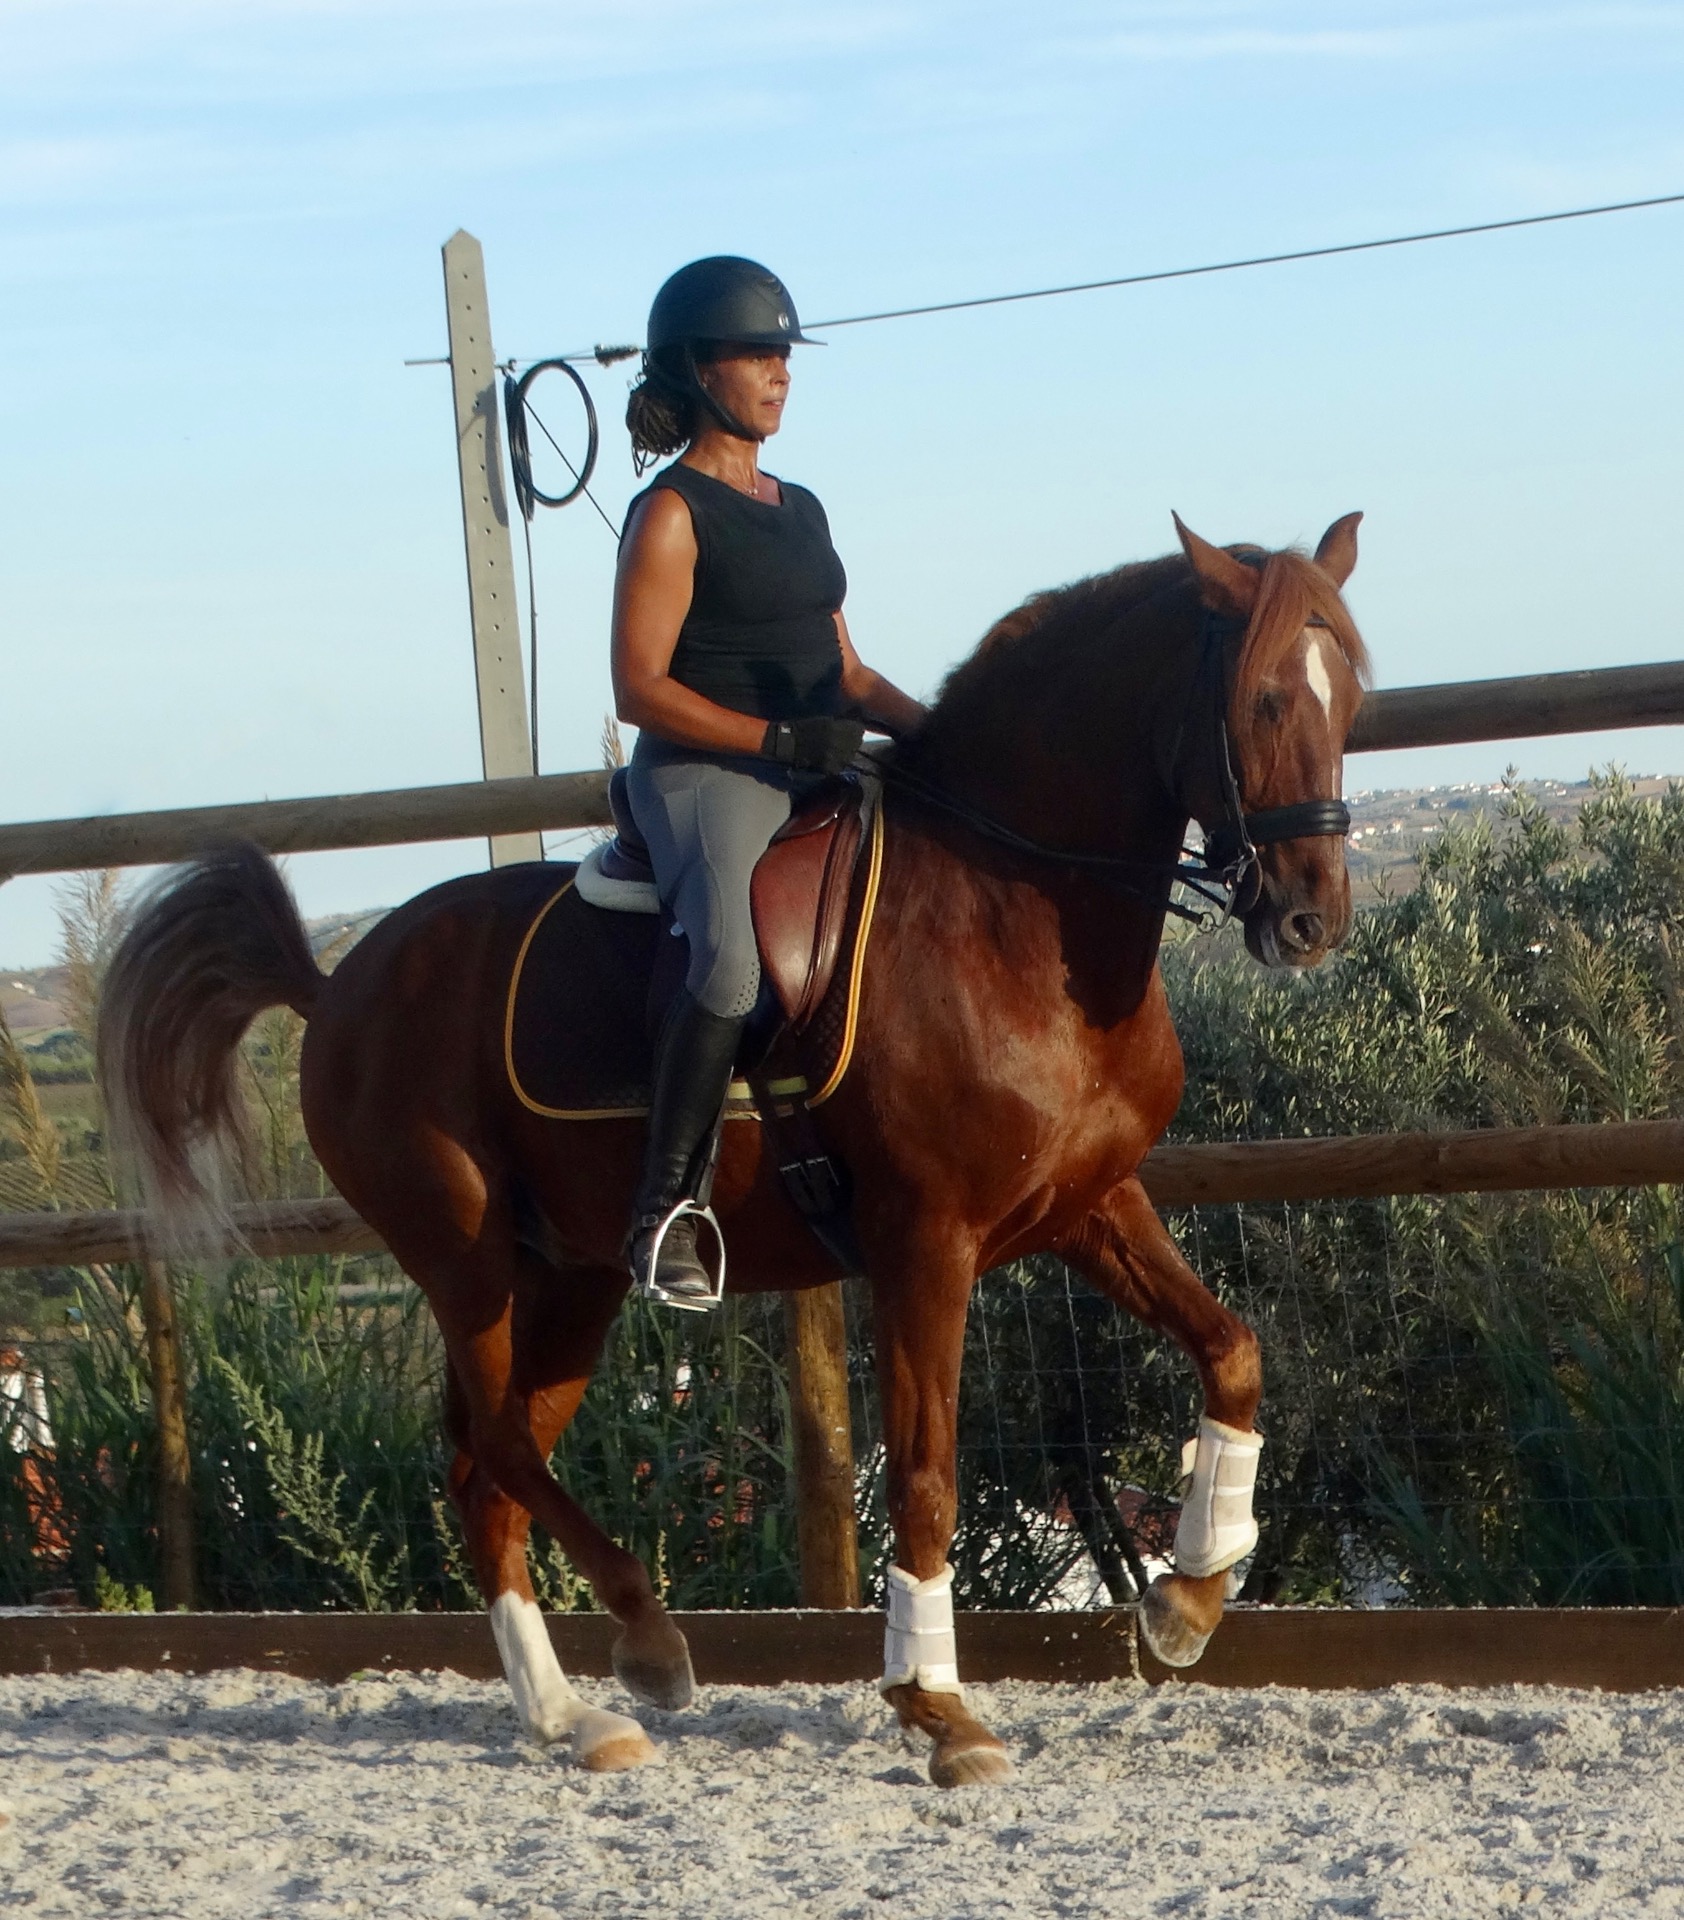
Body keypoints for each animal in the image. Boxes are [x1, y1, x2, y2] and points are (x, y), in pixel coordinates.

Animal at [99, 512, 1369, 1787]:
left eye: (1350, 693)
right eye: (1261, 700)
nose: (1311, 918)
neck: (1011, 913)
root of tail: (336, 983)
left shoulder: (1088, 1202)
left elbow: (1232, 1350)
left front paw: (1187, 1600)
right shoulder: (925, 1244)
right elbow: (924, 1475)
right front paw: (934, 1707)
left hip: (570, 1275)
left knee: (484, 1470)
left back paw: (571, 1715)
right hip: (463, 1254)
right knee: (497, 1444)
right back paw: (648, 1642)